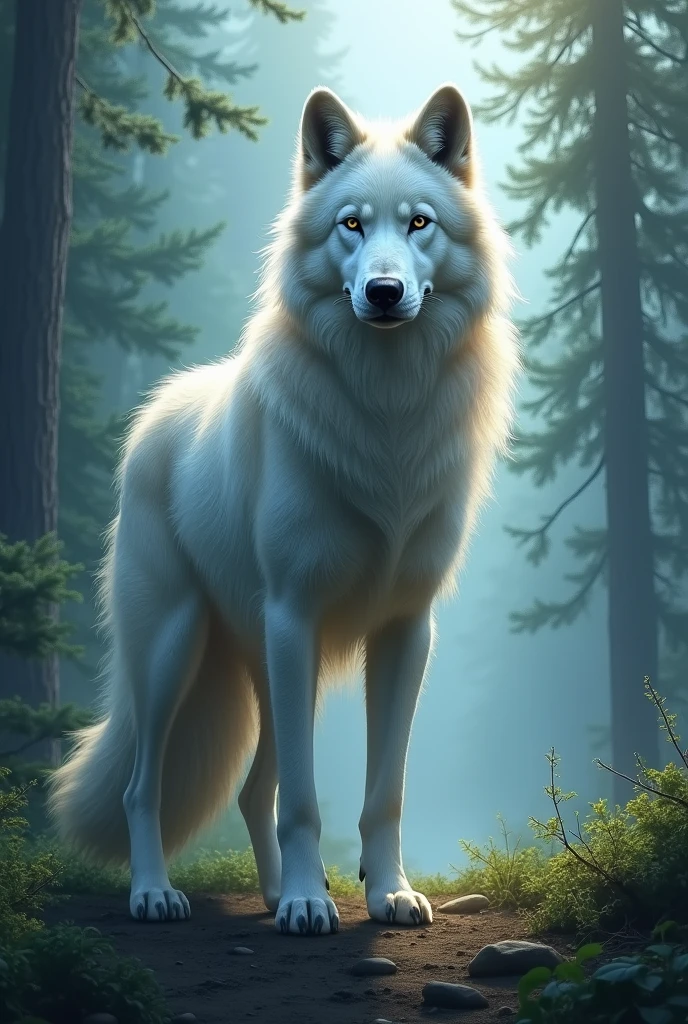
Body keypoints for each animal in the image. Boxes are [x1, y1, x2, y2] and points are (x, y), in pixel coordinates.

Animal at [47, 83, 519, 936]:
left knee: (249, 787)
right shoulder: (296, 613)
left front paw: (386, 893)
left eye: (420, 223)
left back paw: (268, 894)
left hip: (265, 664)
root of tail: (154, 413)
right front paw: (308, 901)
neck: (386, 416)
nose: (384, 293)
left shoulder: (406, 631)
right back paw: (156, 894)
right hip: (174, 652)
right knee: (143, 786)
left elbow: (383, 792)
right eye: (352, 224)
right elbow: (303, 799)